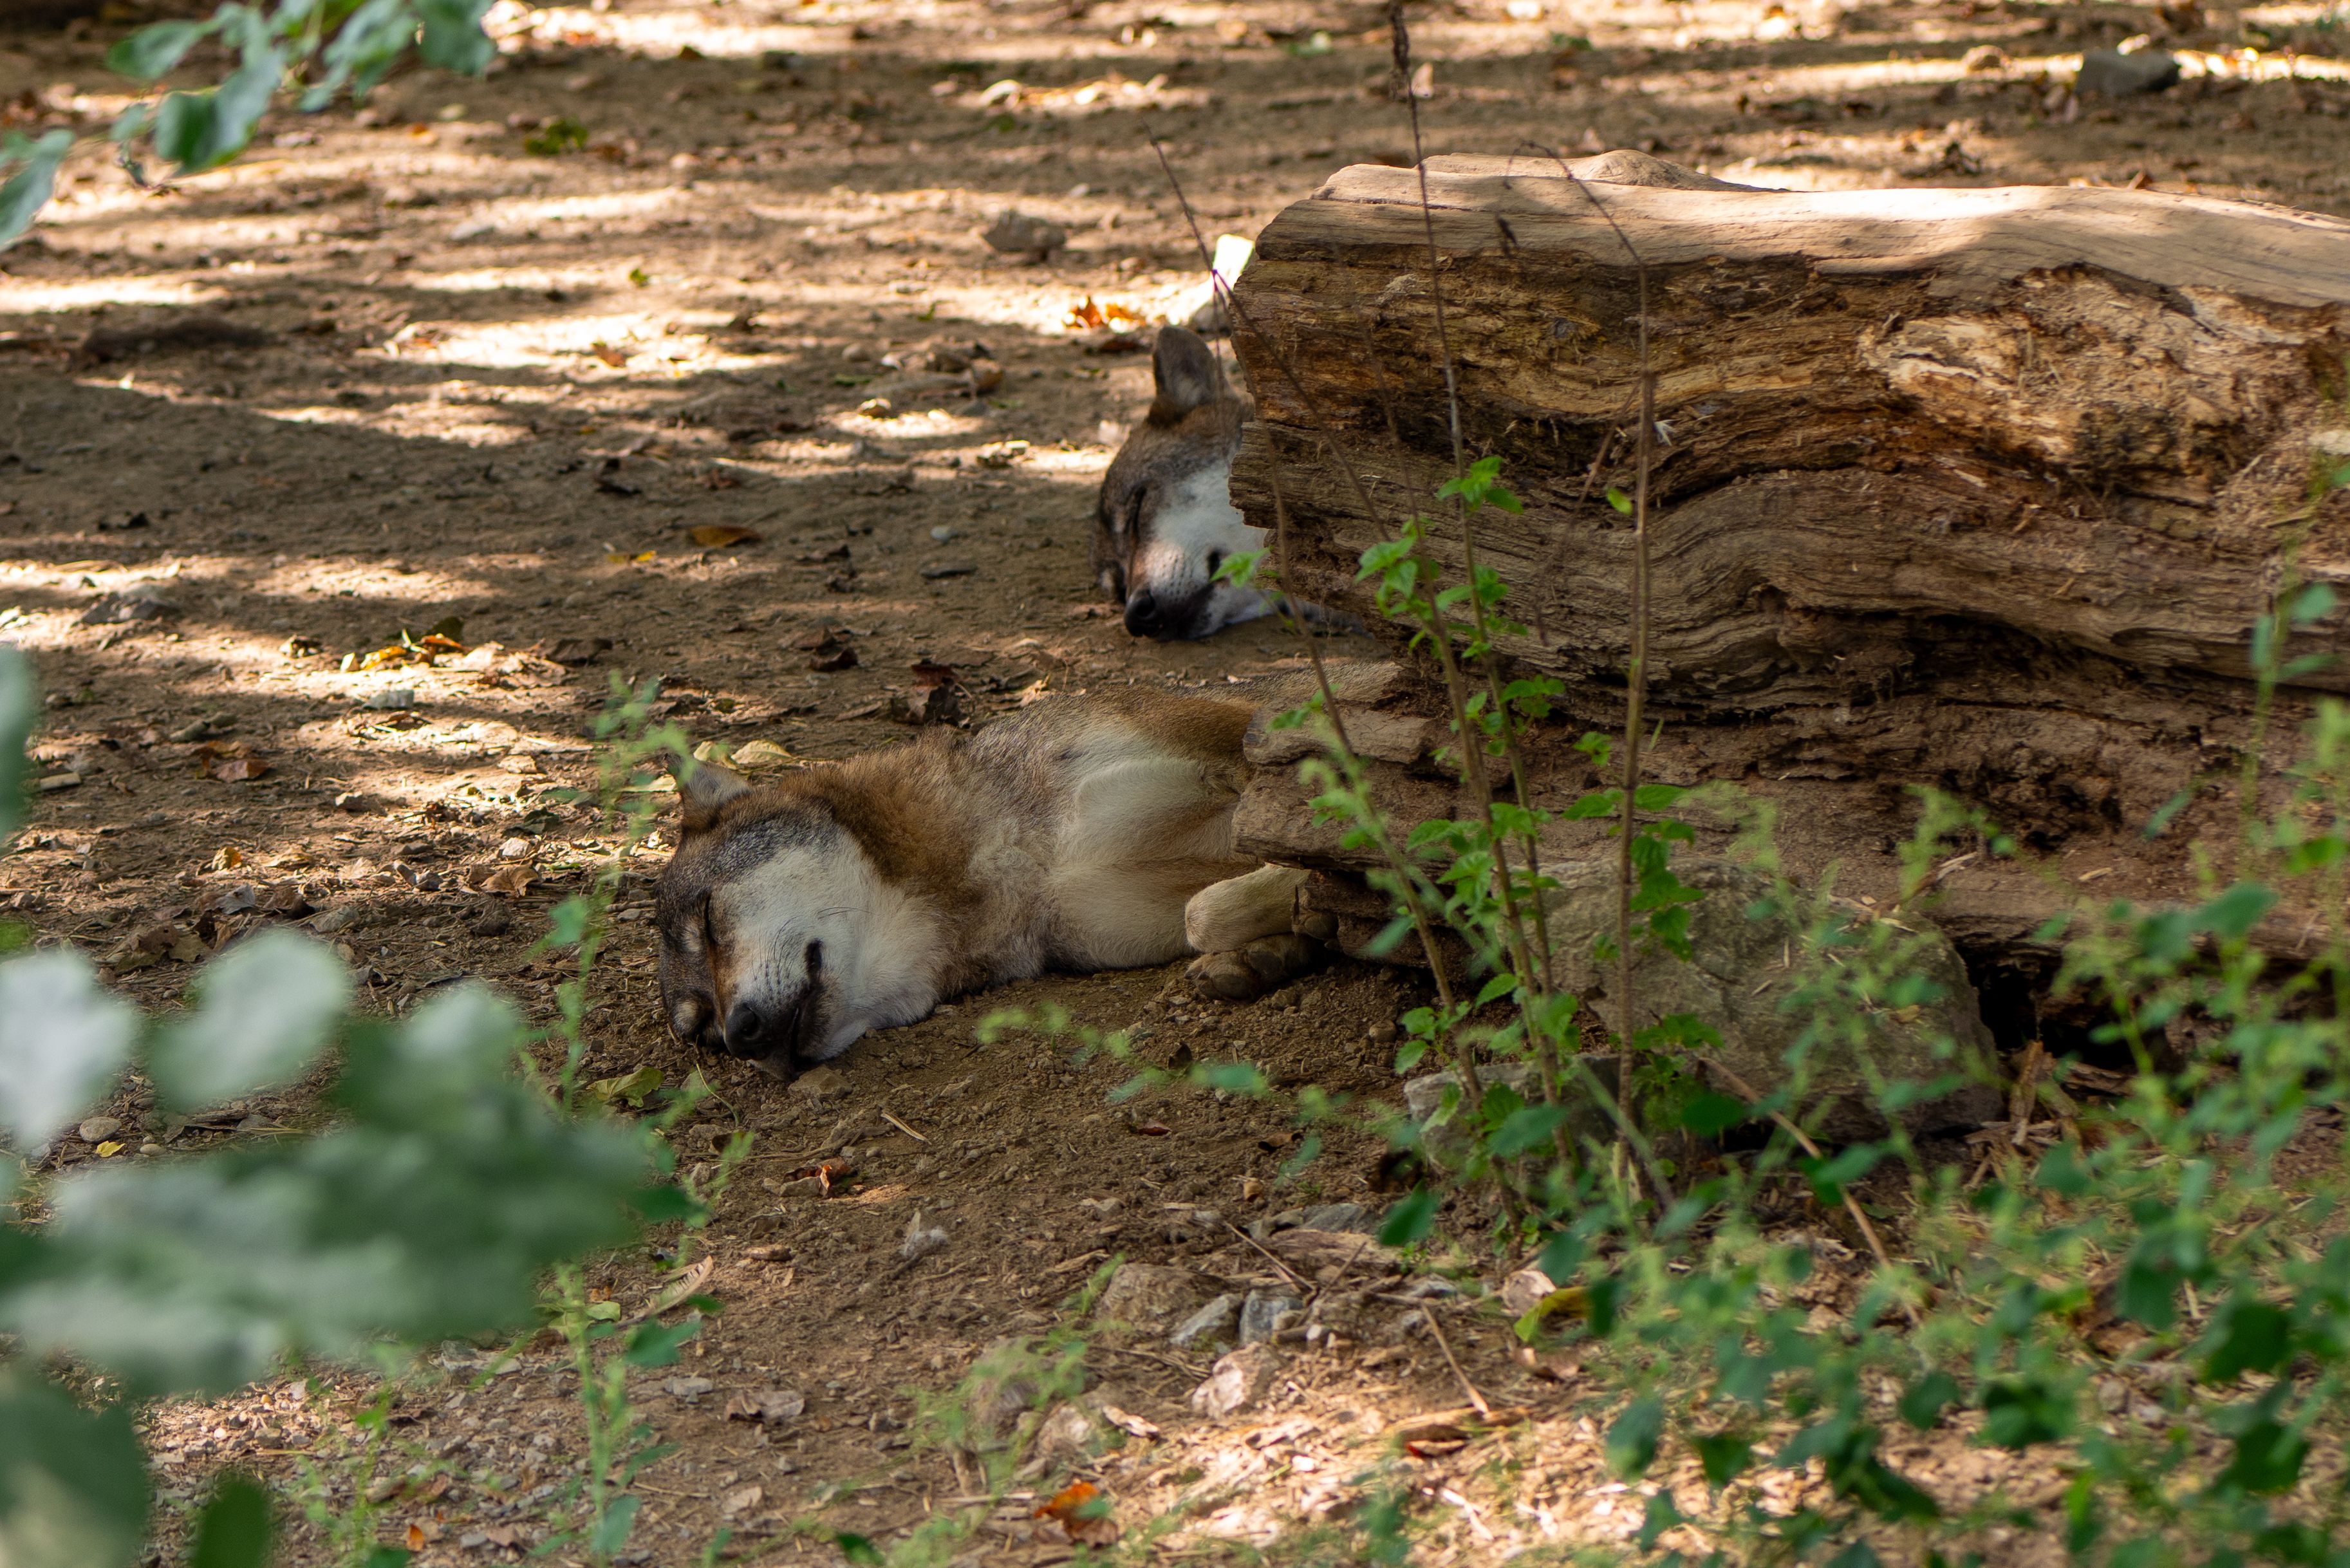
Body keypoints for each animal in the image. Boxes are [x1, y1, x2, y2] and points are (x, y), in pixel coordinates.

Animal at [656, 687, 1313, 1078]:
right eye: (703, 1031)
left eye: (708, 919)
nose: (741, 1038)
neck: (1017, 860)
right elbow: (1204, 912)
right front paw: (1289, 934)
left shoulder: (1247, 742)